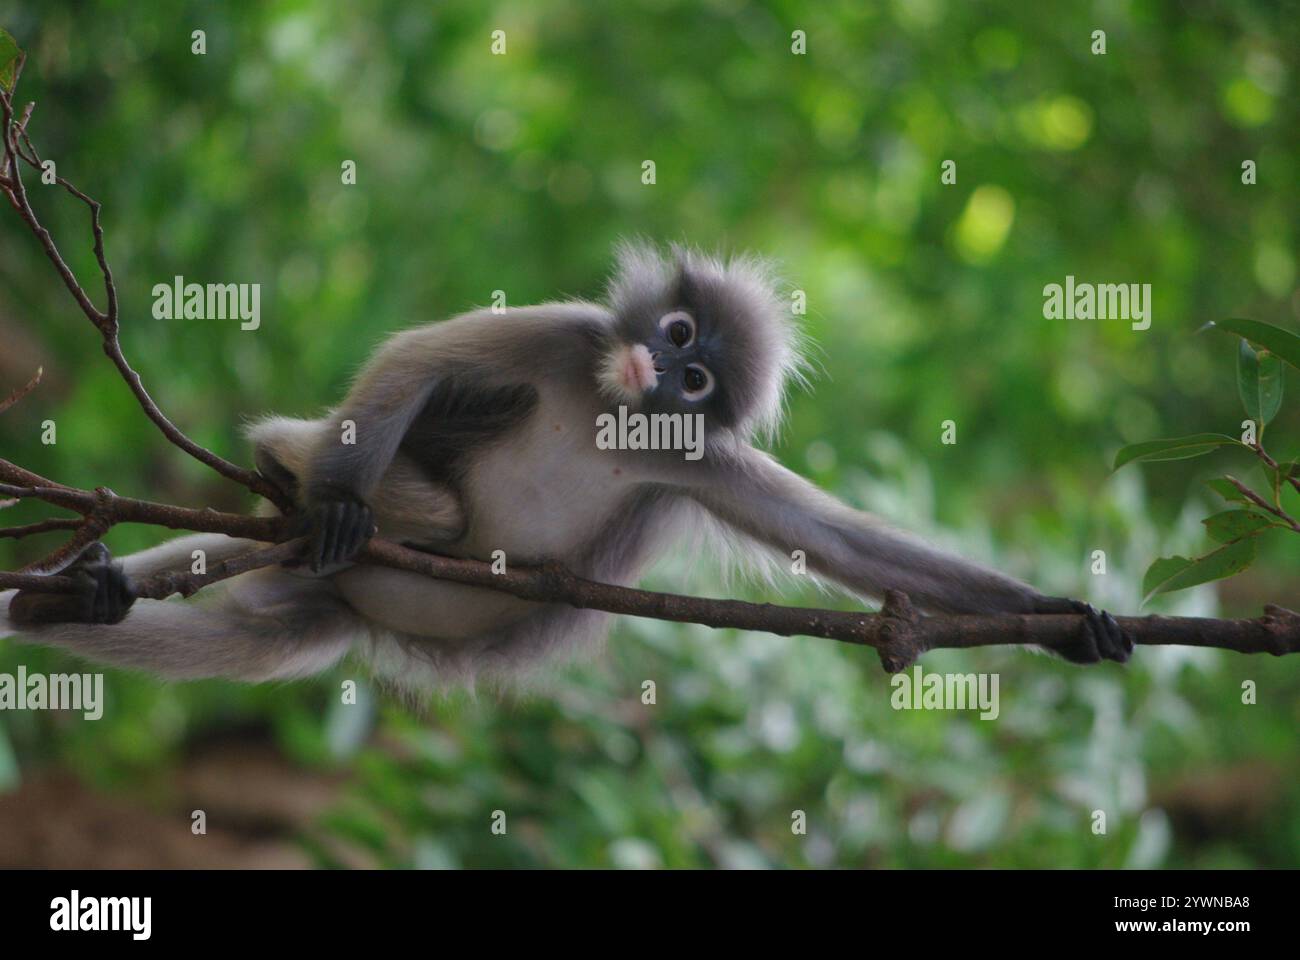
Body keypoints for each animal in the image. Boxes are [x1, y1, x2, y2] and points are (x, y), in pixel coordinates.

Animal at [1, 242, 1132, 689]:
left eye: (694, 379)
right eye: (675, 332)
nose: (660, 364)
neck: (607, 414)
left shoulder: (701, 463)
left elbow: (846, 544)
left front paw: (1069, 620)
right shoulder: (565, 337)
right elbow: (417, 356)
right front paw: (338, 495)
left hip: (319, 615)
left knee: (242, 642)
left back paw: (68, 604)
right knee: (396, 476)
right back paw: (296, 476)